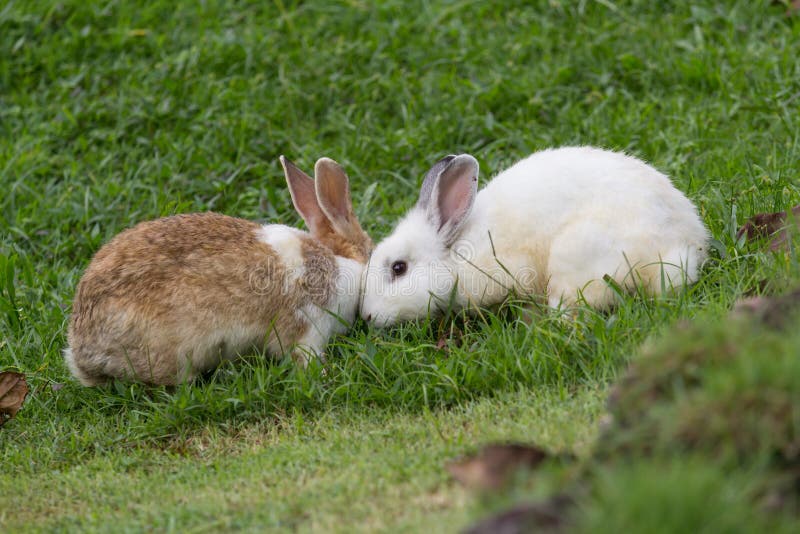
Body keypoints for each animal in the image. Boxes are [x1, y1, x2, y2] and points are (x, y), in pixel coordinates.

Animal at [65, 156, 372, 386]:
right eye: (370, 249)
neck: (341, 262)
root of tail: (82, 354)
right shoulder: (308, 327)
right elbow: (303, 356)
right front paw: (326, 374)